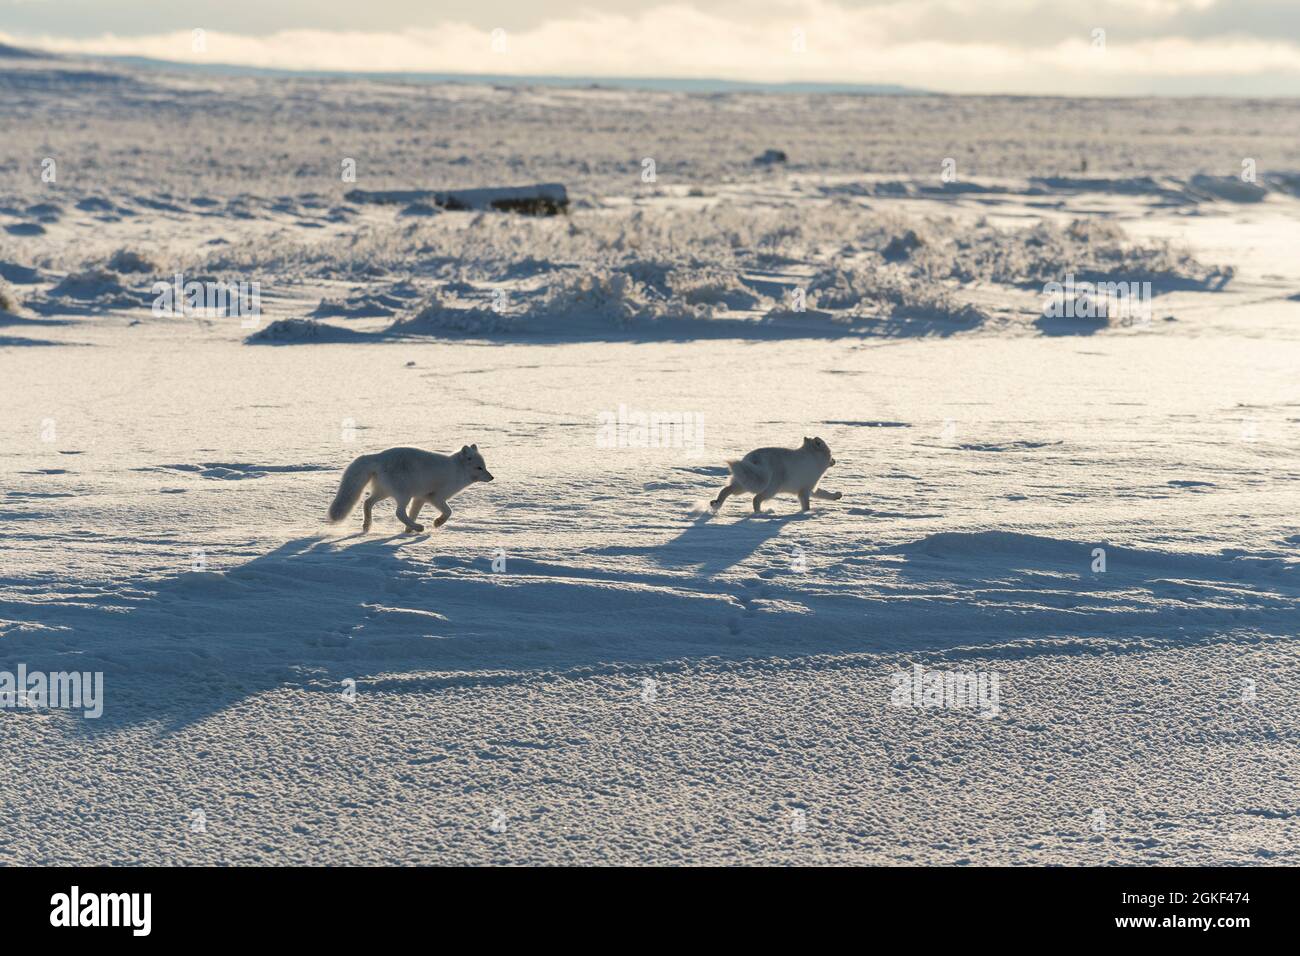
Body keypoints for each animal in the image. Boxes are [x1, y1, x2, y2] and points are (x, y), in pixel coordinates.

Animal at [327, 445, 494, 533]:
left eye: (485, 467)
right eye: (479, 468)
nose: (492, 477)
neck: (456, 470)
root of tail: (378, 456)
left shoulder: (420, 498)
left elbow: (413, 513)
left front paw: (407, 531)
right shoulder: (435, 497)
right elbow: (448, 512)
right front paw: (437, 523)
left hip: (384, 492)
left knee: (367, 503)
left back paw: (367, 526)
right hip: (403, 495)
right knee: (399, 512)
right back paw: (419, 528)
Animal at [711, 436, 842, 514]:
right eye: (831, 453)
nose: (834, 461)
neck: (813, 457)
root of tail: (754, 459)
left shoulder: (811, 488)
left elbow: (824, 493)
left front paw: (836, 496)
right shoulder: (804, 490)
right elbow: (806, 505)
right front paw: (805, 514)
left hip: (745, 482)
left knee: (726, 490)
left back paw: (716, 504)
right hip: (771, 489)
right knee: (756, 499)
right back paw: (759, 513)